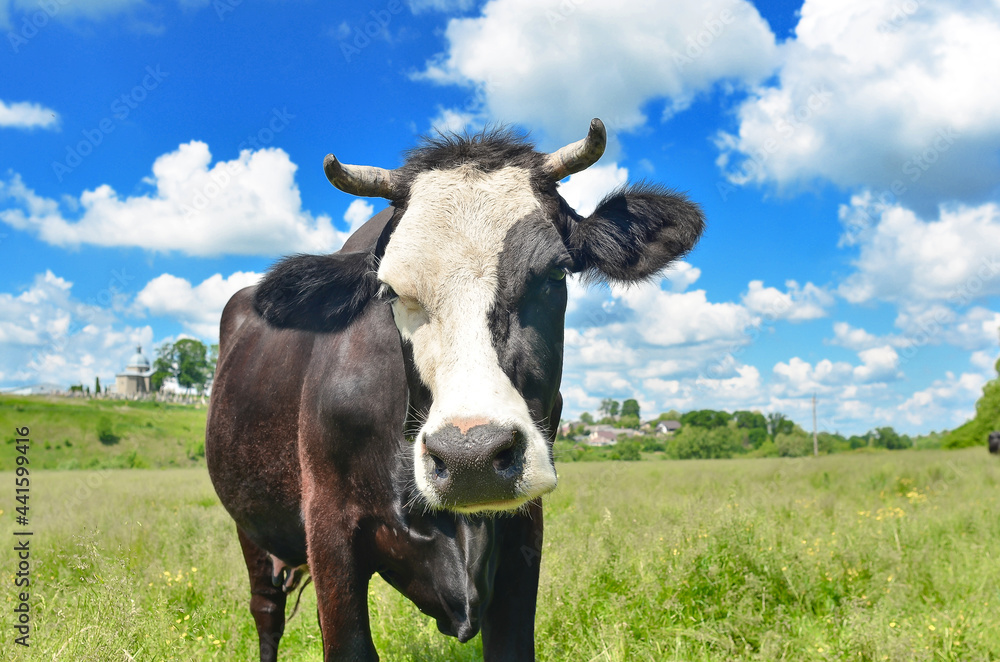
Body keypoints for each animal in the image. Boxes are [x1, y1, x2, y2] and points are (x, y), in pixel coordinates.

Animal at [205, 118, 705, 661]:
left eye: (555, 271)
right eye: (390, 291)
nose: (472, 458)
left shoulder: (523, 534)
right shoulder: (330, 531)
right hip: (252, 528)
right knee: (266, 613)